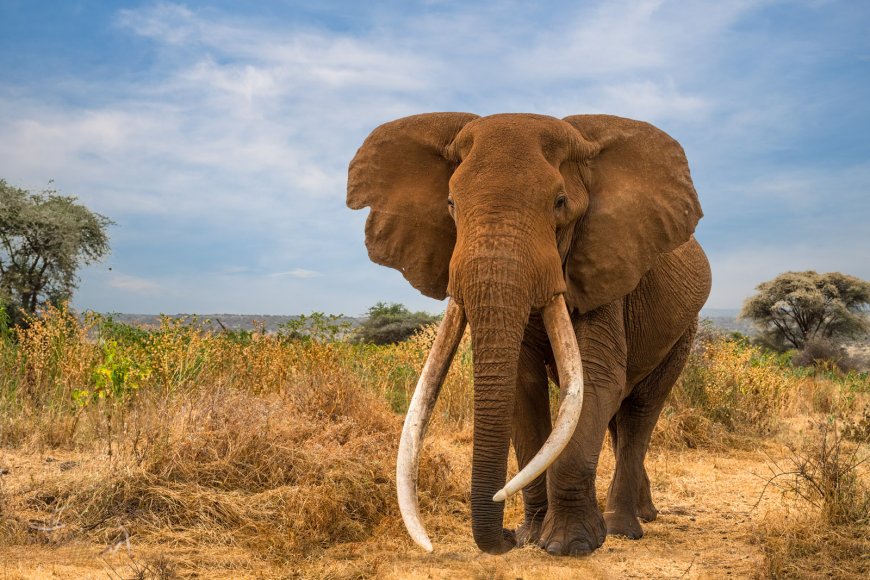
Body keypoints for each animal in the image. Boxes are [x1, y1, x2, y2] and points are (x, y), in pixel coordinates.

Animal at [346, 113, 712, 556]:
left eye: (559, 203)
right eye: (451, 204)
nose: (503, 535)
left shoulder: (605, 271)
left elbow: (596, 380)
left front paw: (570, 545)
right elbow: (525, 387)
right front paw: (530, 537)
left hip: (684, 331)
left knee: (638, 413)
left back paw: (624, 527)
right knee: (617, 419)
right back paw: (643, 515)